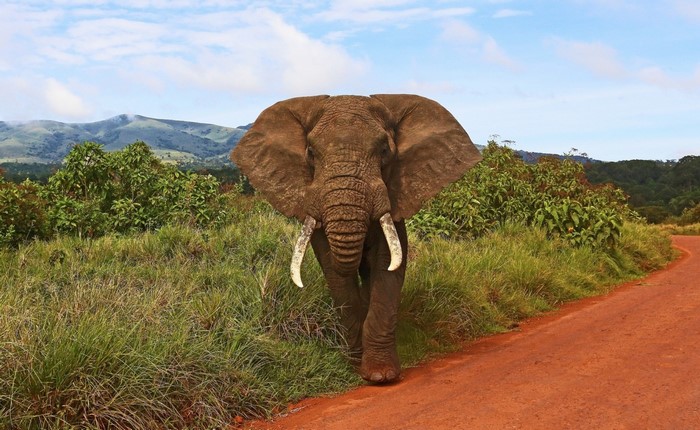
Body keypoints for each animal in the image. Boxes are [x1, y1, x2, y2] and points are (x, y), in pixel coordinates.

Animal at [231, 94, 481, 383]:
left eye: (384, 151)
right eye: (310, 153)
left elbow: (387, 264)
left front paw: (380, 375)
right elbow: (334, 270)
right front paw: (353, 364)